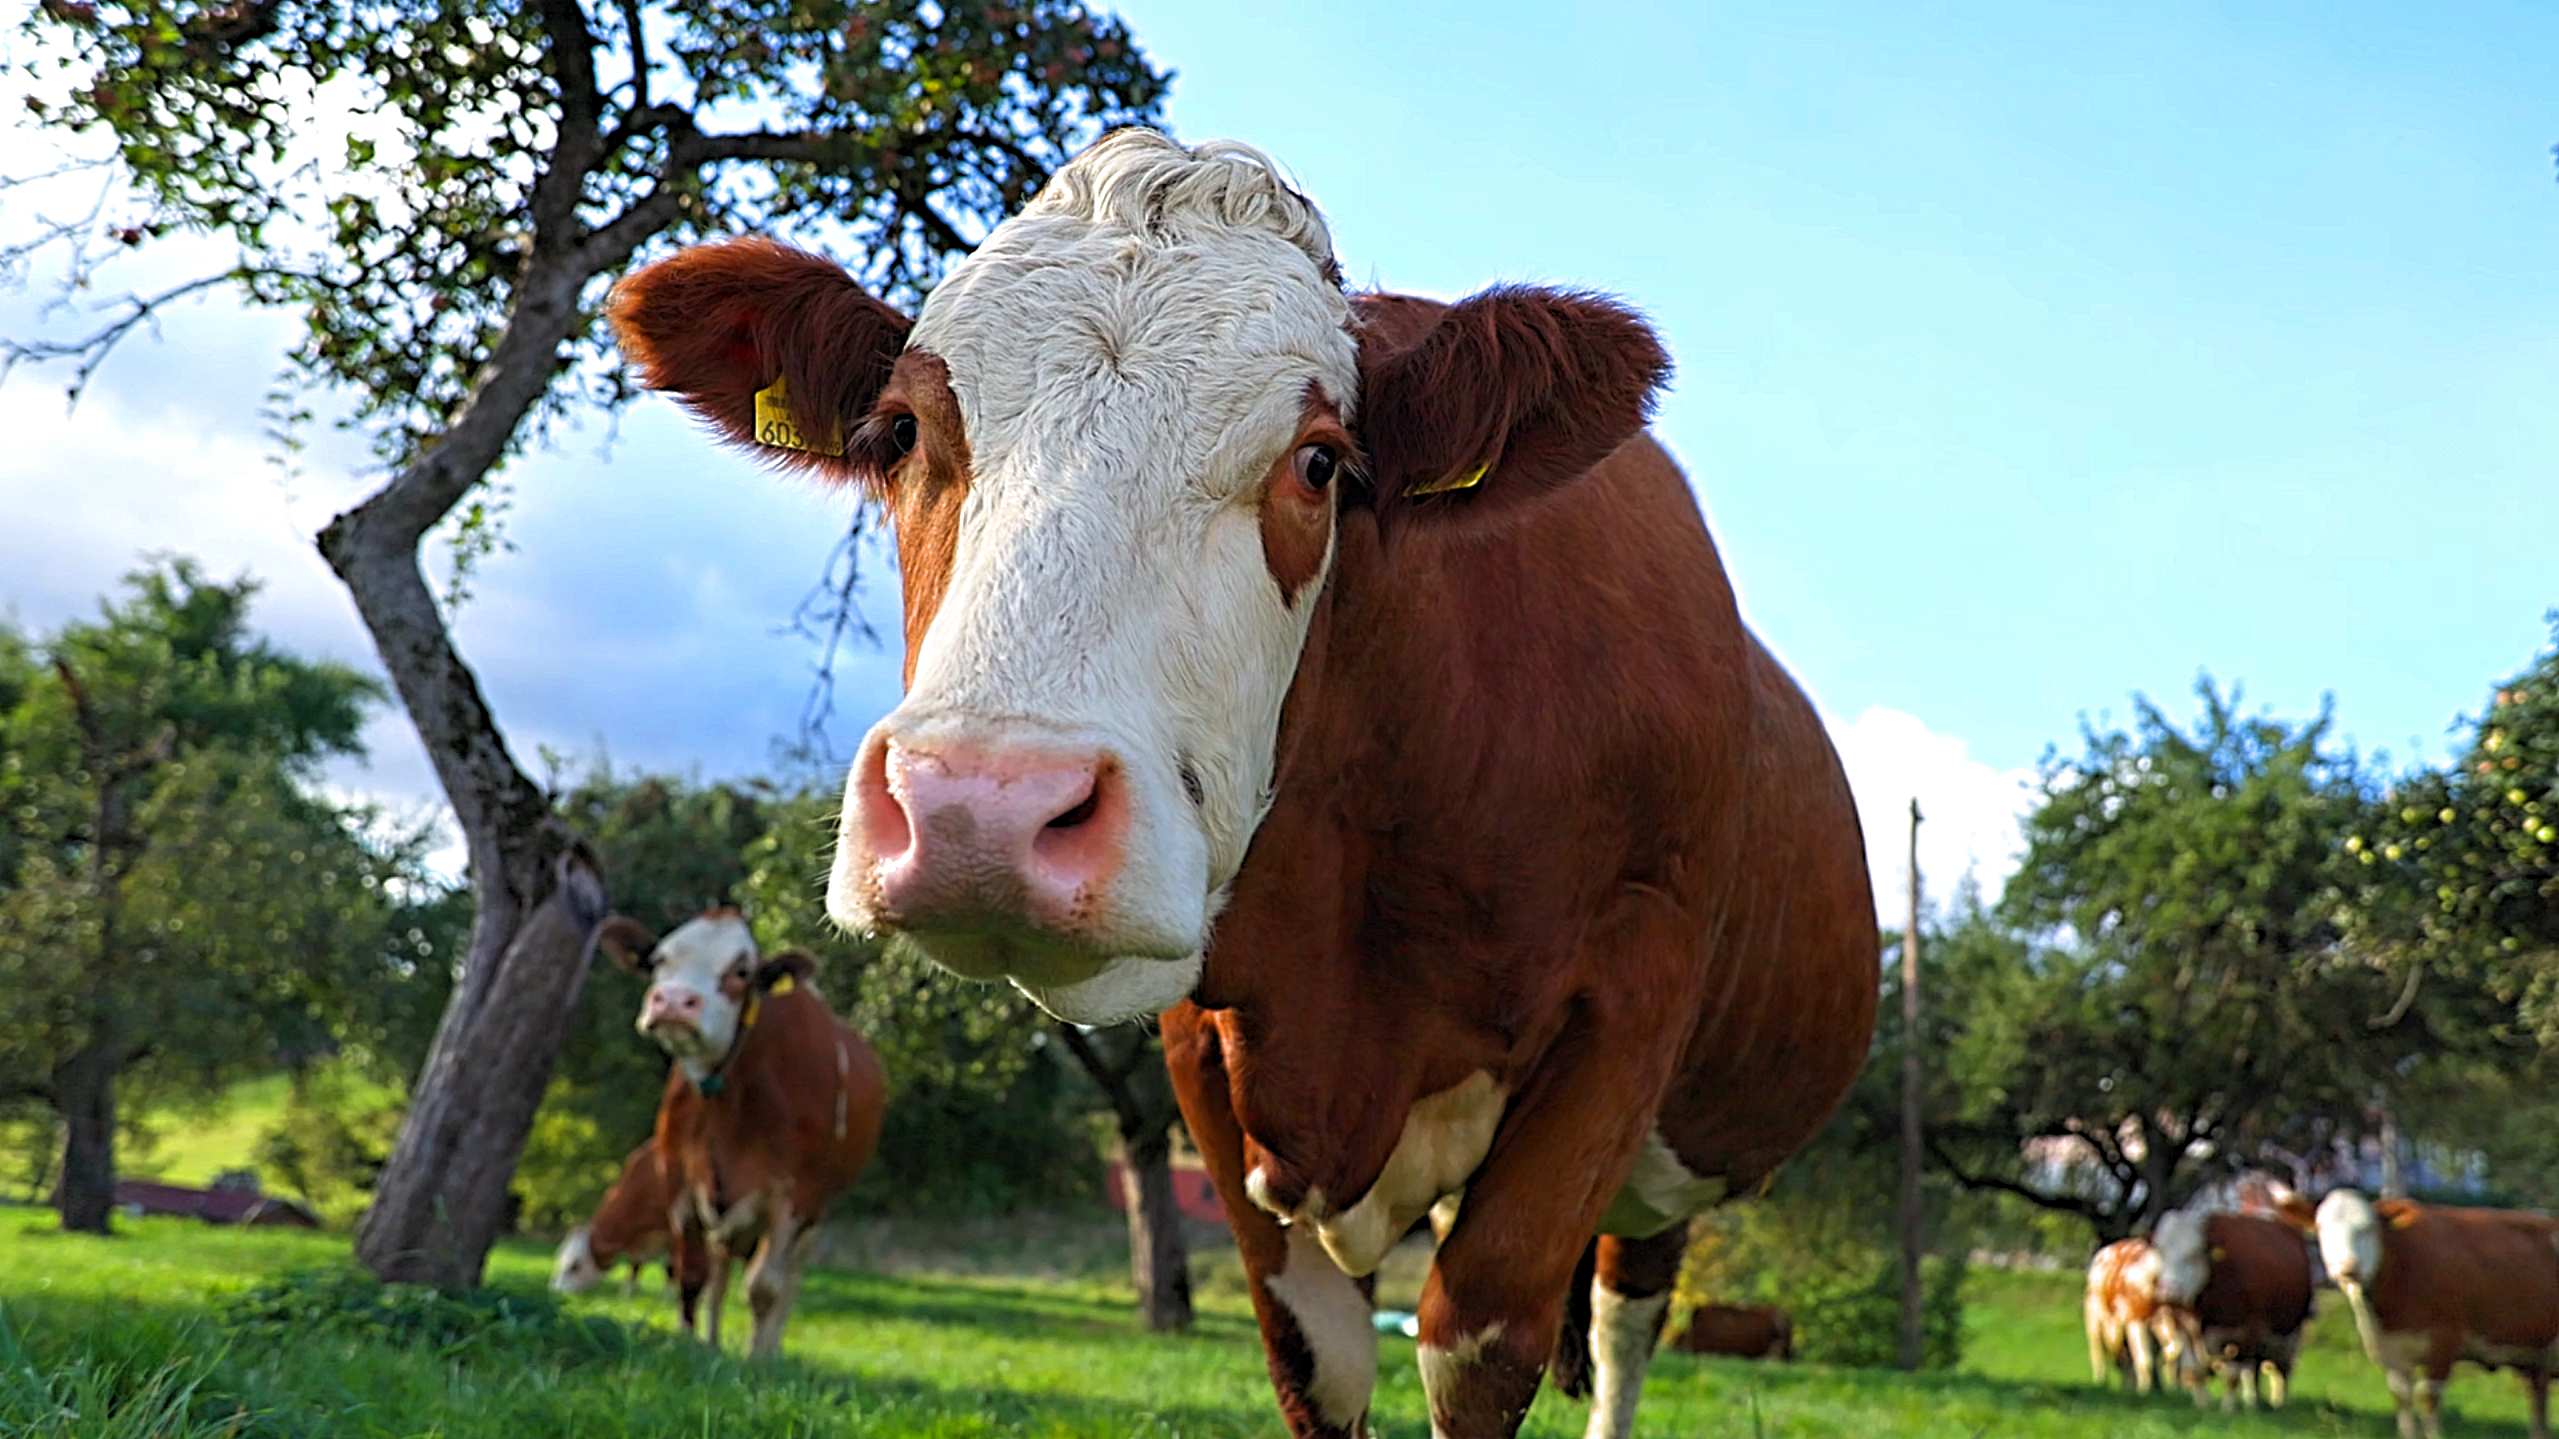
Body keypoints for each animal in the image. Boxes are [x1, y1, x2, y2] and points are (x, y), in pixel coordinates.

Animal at [551, 1136, 711, 1332]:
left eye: (575, 1266)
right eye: (559, 1258)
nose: (554, 1291)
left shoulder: (677, 1232)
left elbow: (673, 1269)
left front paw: (667, 1299)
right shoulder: (643, 1242)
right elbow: (636, 1265)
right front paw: (627, 1295)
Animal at [595, 909, 888, 1360]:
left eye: (741, 972)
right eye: (659, 959)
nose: (674, 1002)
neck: (730, 1101)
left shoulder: (796, 1197)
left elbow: (765, 1289)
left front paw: (757, 1362)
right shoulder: (680, 1180)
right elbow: (690, 1275)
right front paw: (692, 1346)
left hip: (813, 1218)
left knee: (787, 1282)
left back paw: (770, 1351)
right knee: (718, 1276)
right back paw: (715, 1339)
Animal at [2151, 1208, 2316, 1410]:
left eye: (2195, 1255)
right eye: (2161, 1252)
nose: (2169, 1292)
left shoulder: (2246, 1330)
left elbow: (2232, 1375)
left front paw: (2227, 1409)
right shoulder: (2183, 1328)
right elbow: (2195, 1370)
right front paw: (2202, 1405)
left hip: (2289, 1335)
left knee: (2280, 1370)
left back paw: (2278, 1403)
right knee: (2254, 1371)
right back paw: (2253, 1402)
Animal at [2315, 1188, 2559, 1439]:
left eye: (2367, 1228)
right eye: (2321, 1228)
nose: (2347, 1268)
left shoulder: (2444, 1341)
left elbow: (2427, 1397)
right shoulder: (2391, 1352)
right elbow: (2402, 1398)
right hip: (2535, 1360)